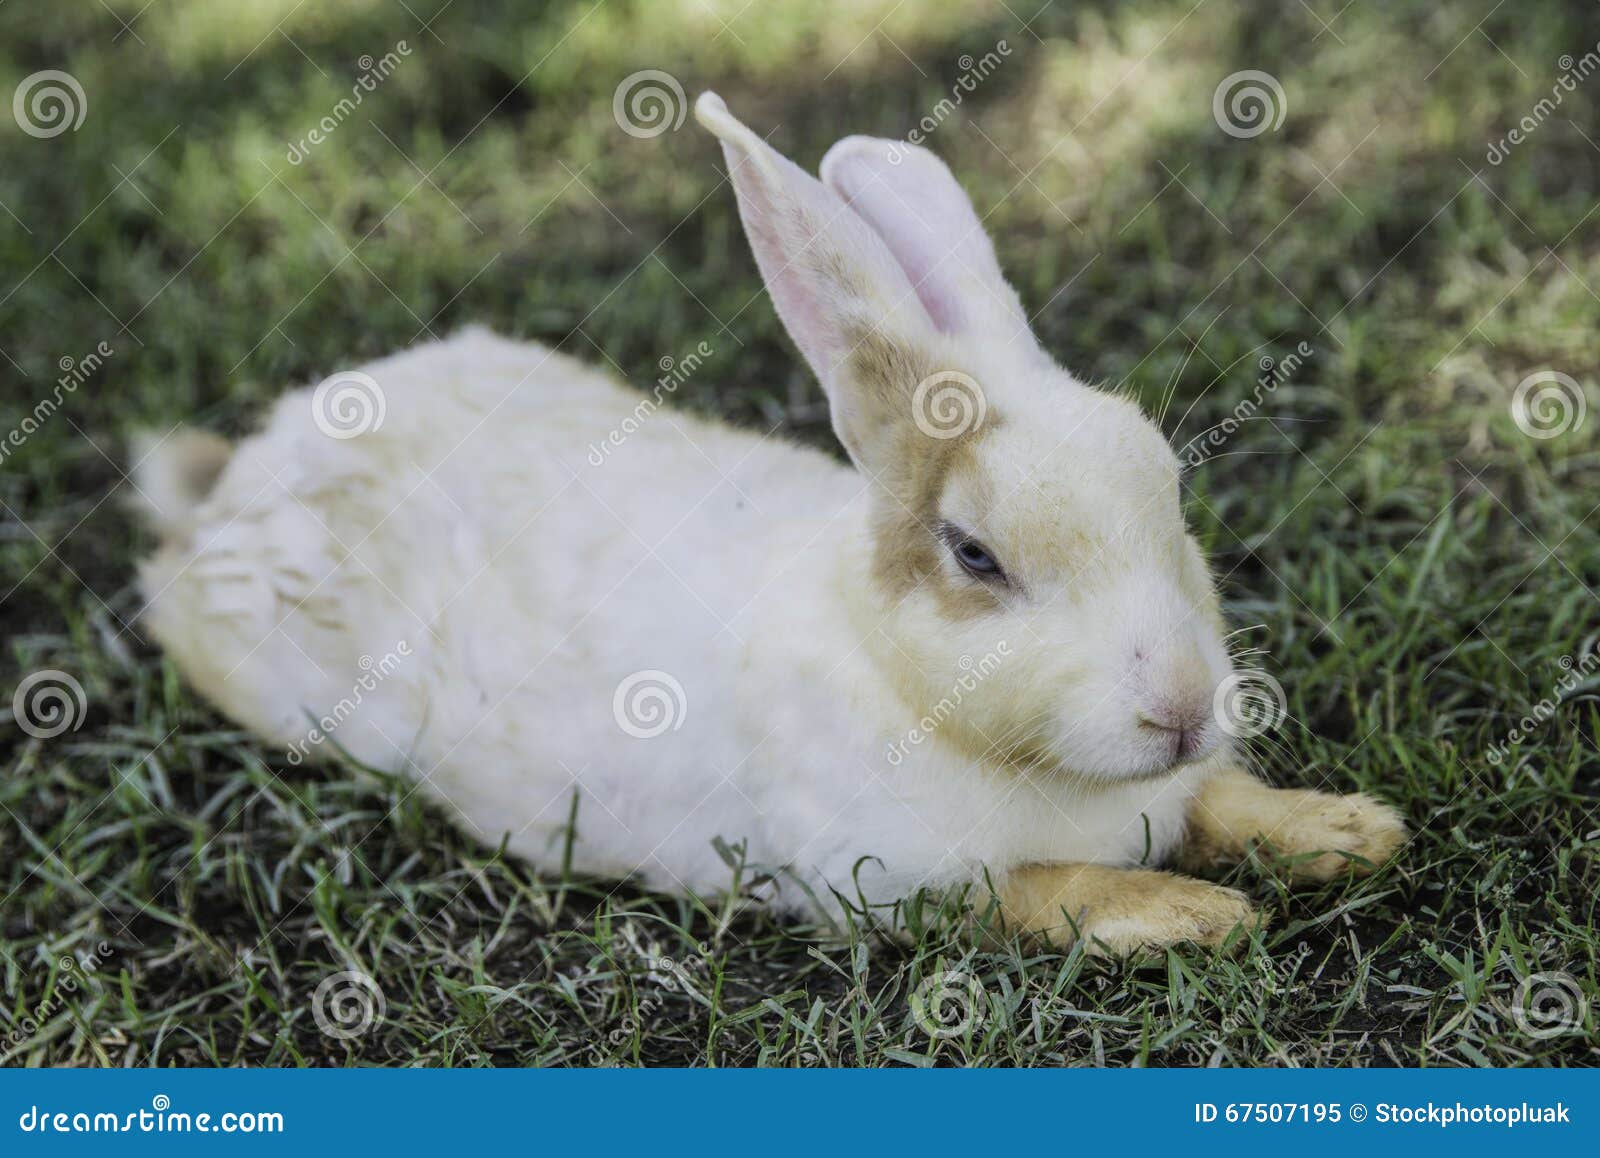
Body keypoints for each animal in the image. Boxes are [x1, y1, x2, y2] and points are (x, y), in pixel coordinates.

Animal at [132, 92, 1405, 955]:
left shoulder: (1176, 789)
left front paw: (1350, 832)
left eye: (1168, 495)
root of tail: (252, 467)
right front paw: (1197, 913)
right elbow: (1045, 890)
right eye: (974, 555)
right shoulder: (885, 877)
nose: (1181, 709)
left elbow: (1221, 799)